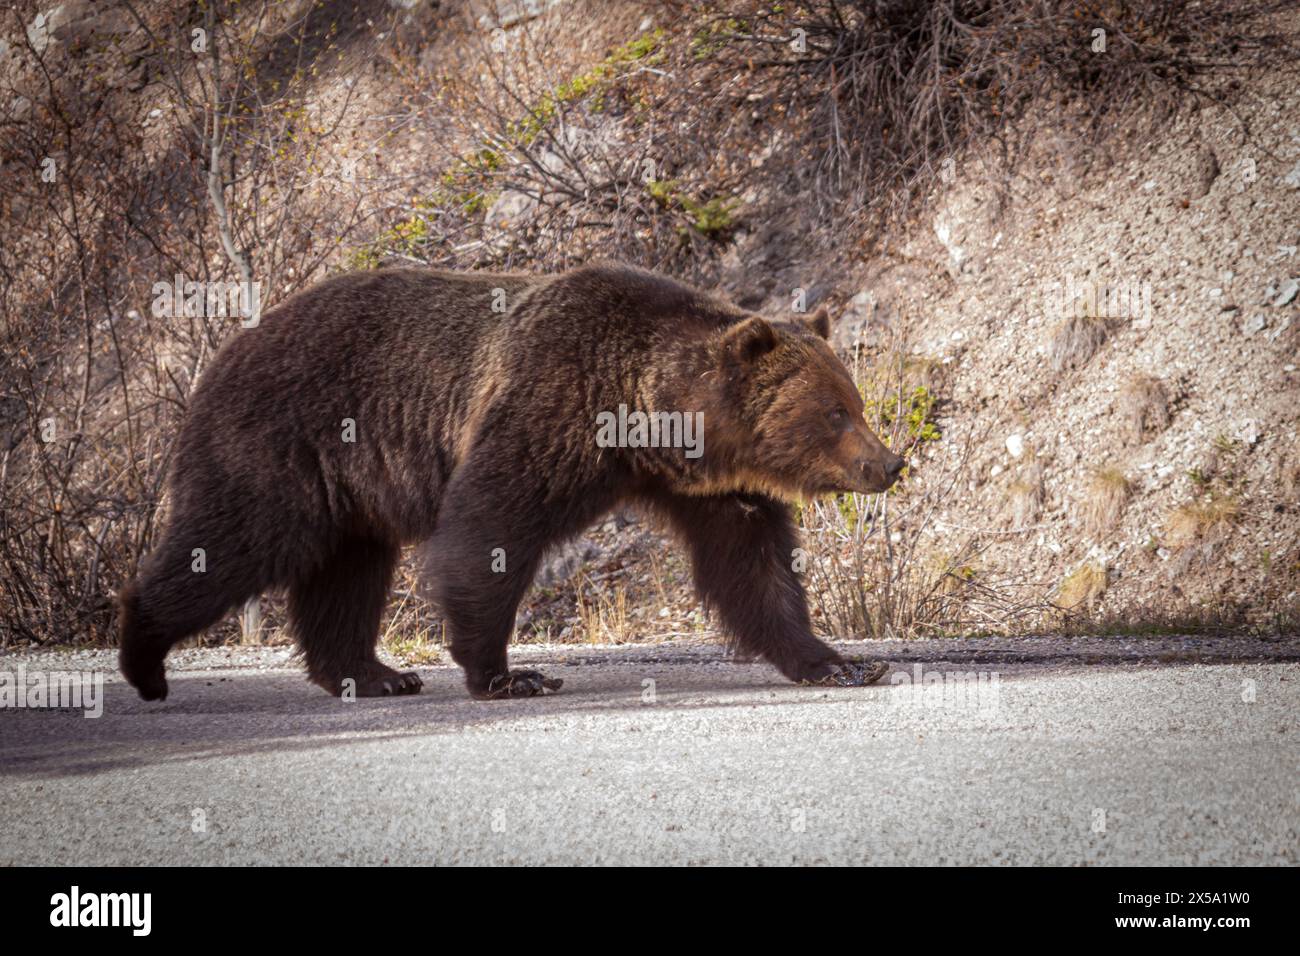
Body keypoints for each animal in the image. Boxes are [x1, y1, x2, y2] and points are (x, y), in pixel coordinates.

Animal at [118, 262, 906, 701]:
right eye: (836, 412)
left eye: (857, 403)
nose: (888, 464)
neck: (649, 421)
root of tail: (225, 350)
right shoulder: (546, 404)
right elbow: (489, 530)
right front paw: (508, 673)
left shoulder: (711, 491)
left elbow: (754, 571)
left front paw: (839, 663)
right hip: (279, 444)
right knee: (228, 545)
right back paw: (144, 658)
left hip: (348, 488)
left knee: (347, 575)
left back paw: (375, 673)